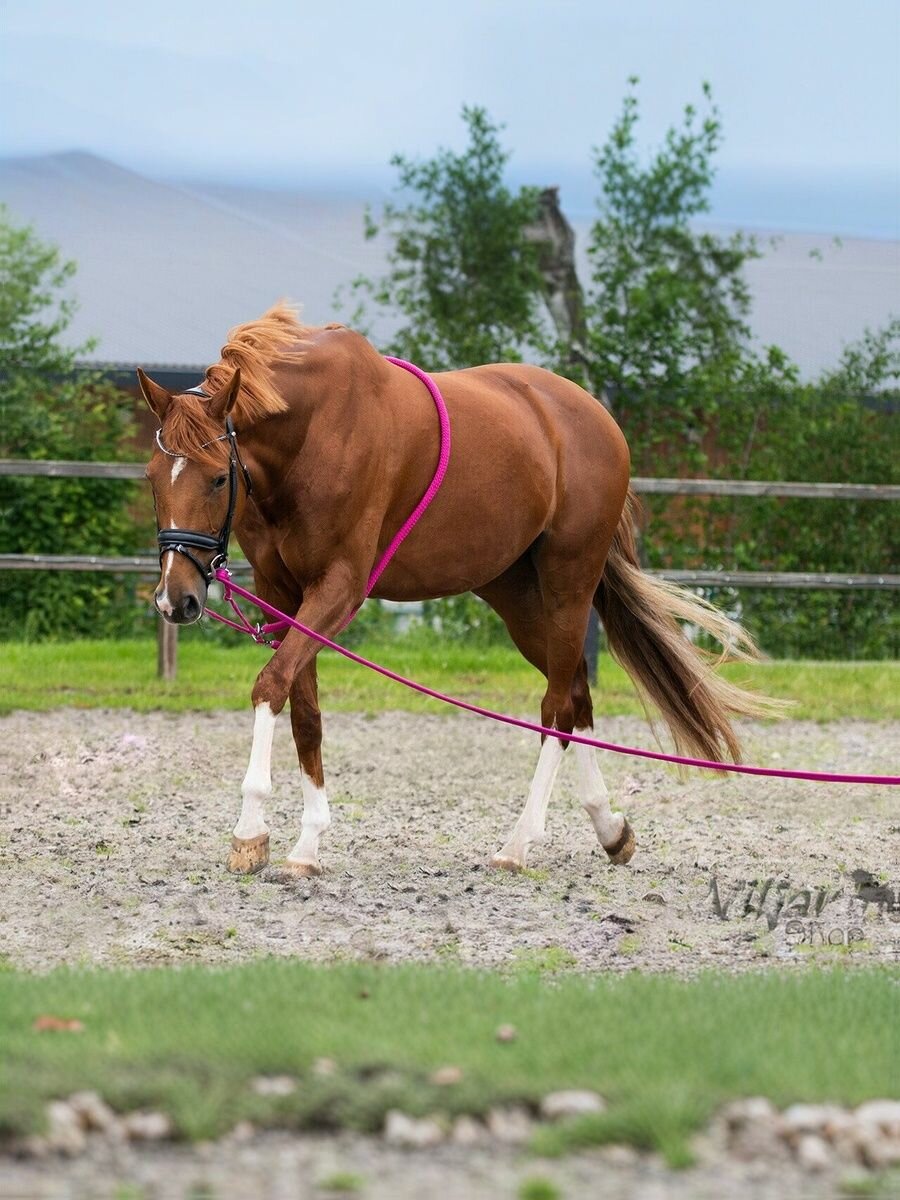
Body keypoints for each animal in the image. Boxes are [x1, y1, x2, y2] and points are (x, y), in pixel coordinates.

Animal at [139, 303, 772, 878]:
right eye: (151, 477)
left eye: (218, 477)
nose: (177, 599)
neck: (312, 434)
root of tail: (594, 416)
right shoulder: (284, 593)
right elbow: (305, 711)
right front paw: (307, 843)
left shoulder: (338, 588)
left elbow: (271, 685)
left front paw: (251, 832)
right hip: (517, 598)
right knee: (577, 697)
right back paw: (610, 829)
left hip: (569, 585)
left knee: (557, 707)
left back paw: (518, 844)